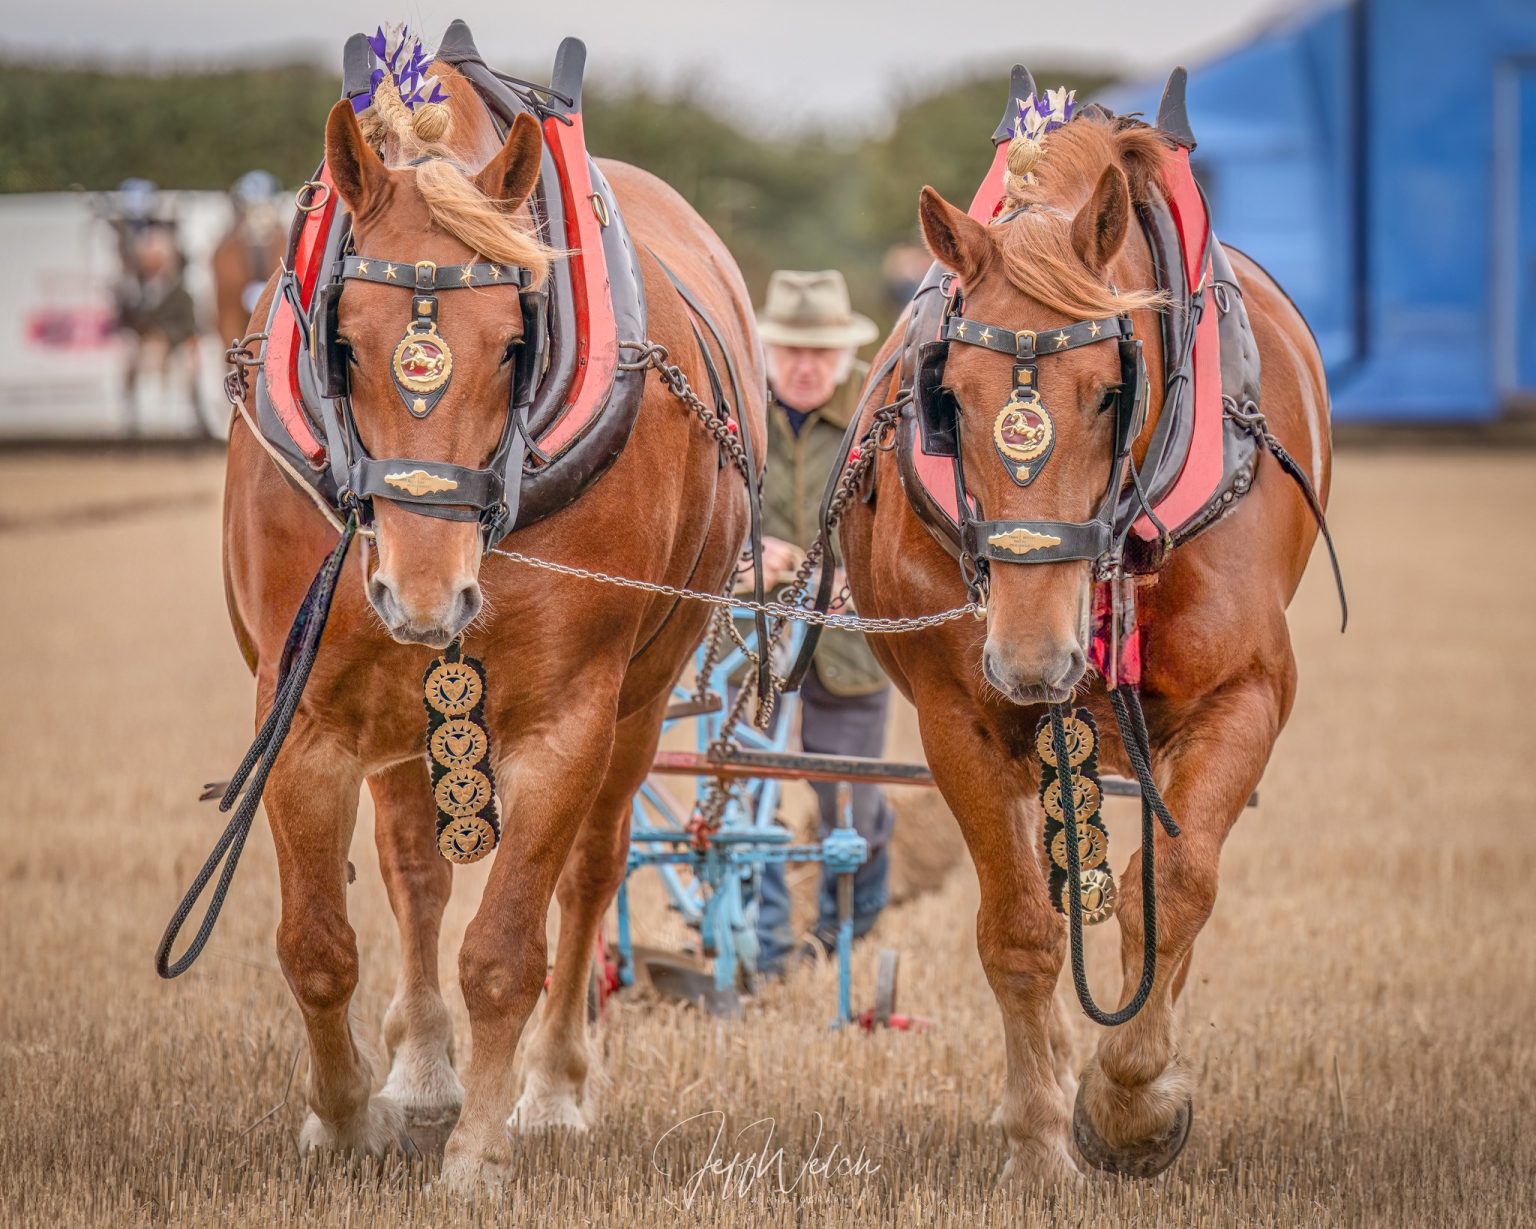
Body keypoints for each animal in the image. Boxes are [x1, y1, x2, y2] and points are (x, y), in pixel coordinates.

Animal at [221, 58, 764, 1190]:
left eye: (517, 345)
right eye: (342, 343)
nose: (425, 597)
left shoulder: (567, 722)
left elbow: (509, 951)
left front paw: (479, 1148)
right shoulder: (304, 709)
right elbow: (318, 939)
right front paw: (345, 1117)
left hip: (639, 702)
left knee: (594, 871)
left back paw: (551, 1087)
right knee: (414, 870)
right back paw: (423, 1069)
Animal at [838, 111, 1333, 1181]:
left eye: (1110, 390)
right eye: (951, 395)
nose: (1033, 659)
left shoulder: (1244, 696)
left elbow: (1177, 890)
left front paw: (1132, 1105)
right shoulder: (962, 719)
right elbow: (1020, 928)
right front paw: (1039, 1133)